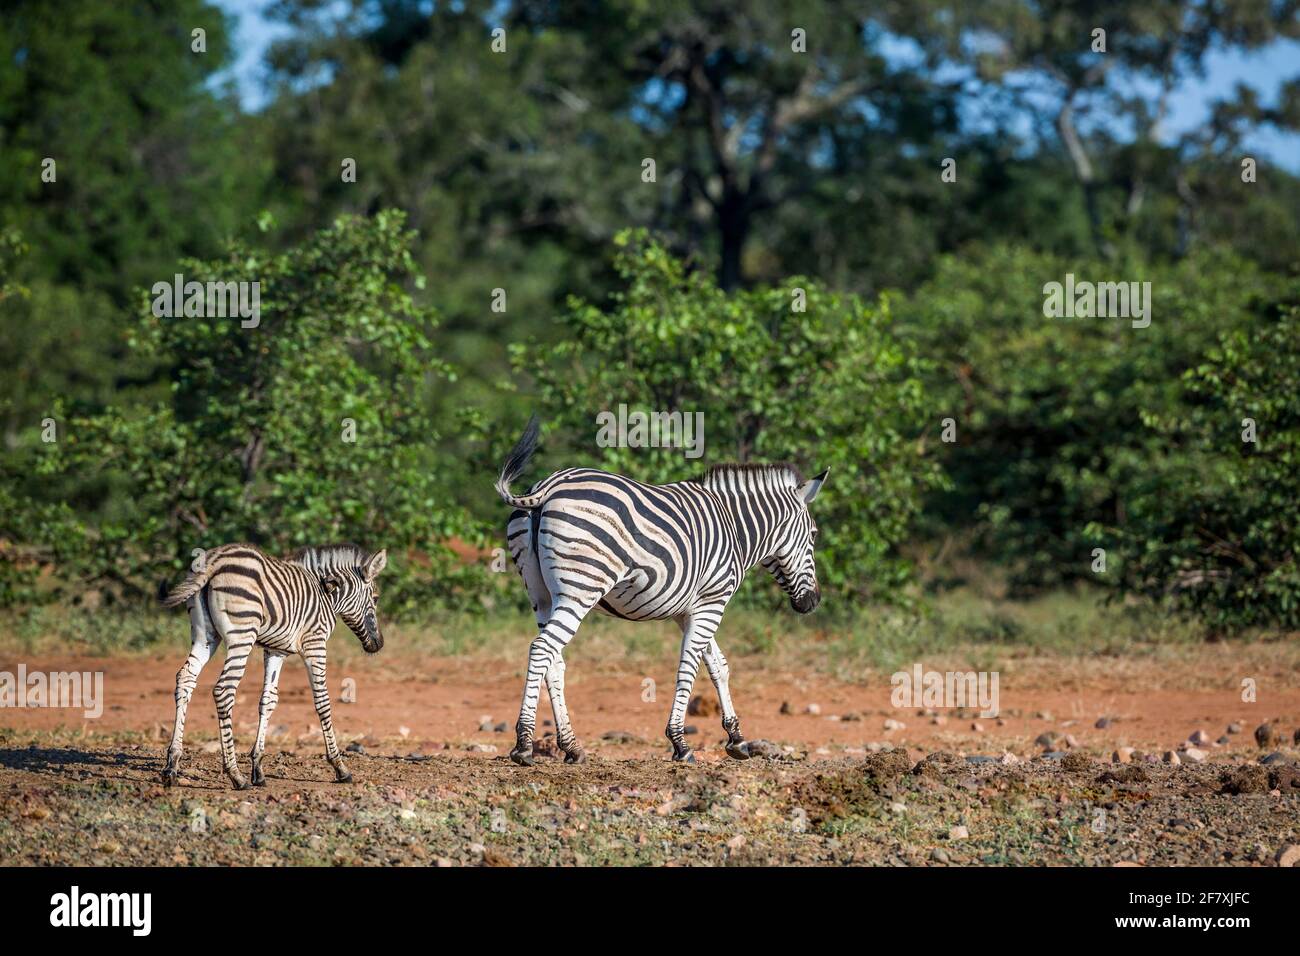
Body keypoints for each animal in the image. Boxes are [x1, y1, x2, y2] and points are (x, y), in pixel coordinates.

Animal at [158, 542, 388, 789]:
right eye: (375, 599)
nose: (379, 644)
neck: (327, 594)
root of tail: (214, 560)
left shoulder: (276, 650)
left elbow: (268, 700)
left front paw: (258, 769)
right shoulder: (315, 644)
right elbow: (322, 700)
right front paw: (340, 767)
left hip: (205, 636)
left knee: (185, 678)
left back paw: (172, 765)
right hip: (243, 634)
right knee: (224, 690)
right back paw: (235, 775)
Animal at [496, 415, 827, 765]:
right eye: (814, 534)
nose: (813, 602)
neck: (734, 527)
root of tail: (548, 486)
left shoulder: (690, 610)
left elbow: (718, 666)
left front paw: (736, 739)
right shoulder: (712, 602)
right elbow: (689, 667)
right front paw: (680, 742)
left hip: (541, 595)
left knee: (554, 661)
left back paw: (571, 746)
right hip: (581, 588)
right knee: (541, 649)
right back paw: (524, 744)